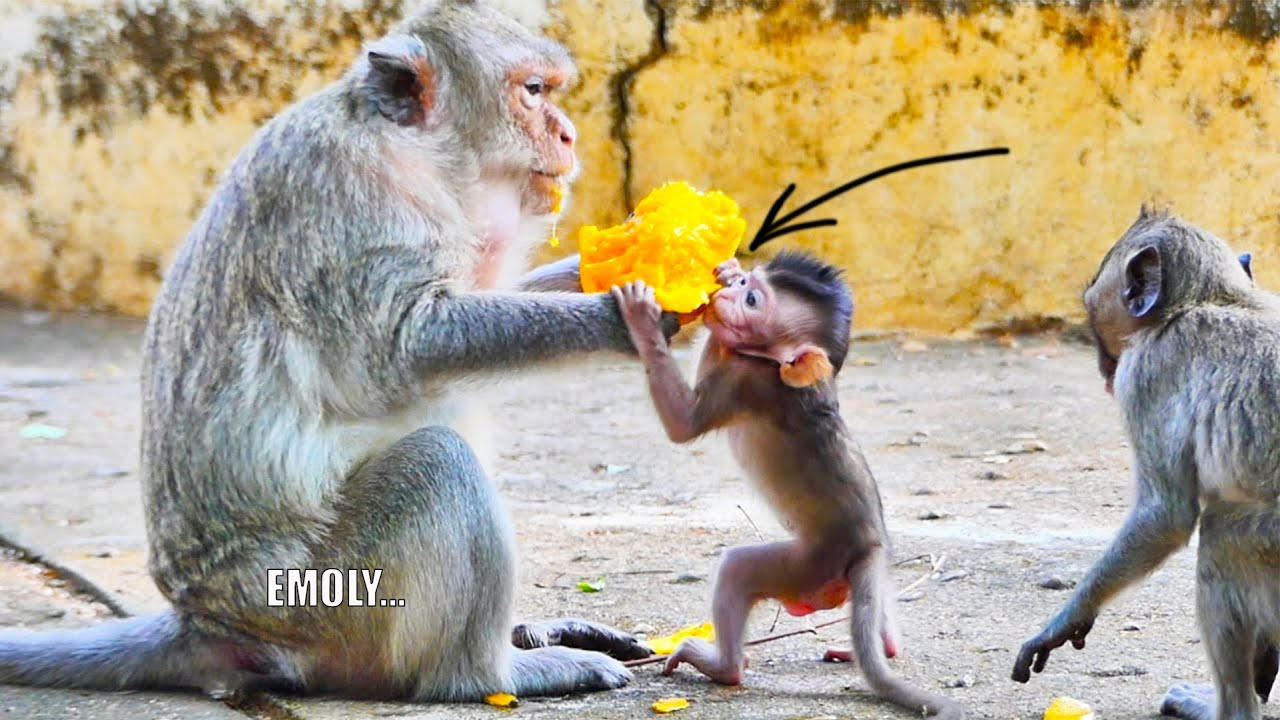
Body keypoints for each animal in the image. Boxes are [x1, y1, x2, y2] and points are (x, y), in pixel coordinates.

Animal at [0, 0, 681, 703]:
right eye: (533, 91)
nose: (568, 135)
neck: (415, 153)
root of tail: (211, 623)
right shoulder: (356, 202)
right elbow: (410, 344)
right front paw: (623, 318)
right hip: (330, 598)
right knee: (436, 463)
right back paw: (487, 671)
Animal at [611, 251, 963, 719]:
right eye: (746, 284)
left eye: (753, 300)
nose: (729, 290)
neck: (773, 365)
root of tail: (869, 543)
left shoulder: (745, 380)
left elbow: (684, 423)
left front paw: (643, 319)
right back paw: (881, 647)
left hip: (808, 566)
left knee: (739, 569)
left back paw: (724, 667)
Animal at [1011, 205, 1280, 720]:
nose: (1101, 366)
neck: (1216, 297)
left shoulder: (1146, 375)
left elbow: (1166, 515)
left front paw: (1069, 618)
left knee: (1221, 535)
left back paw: (1227, 709)